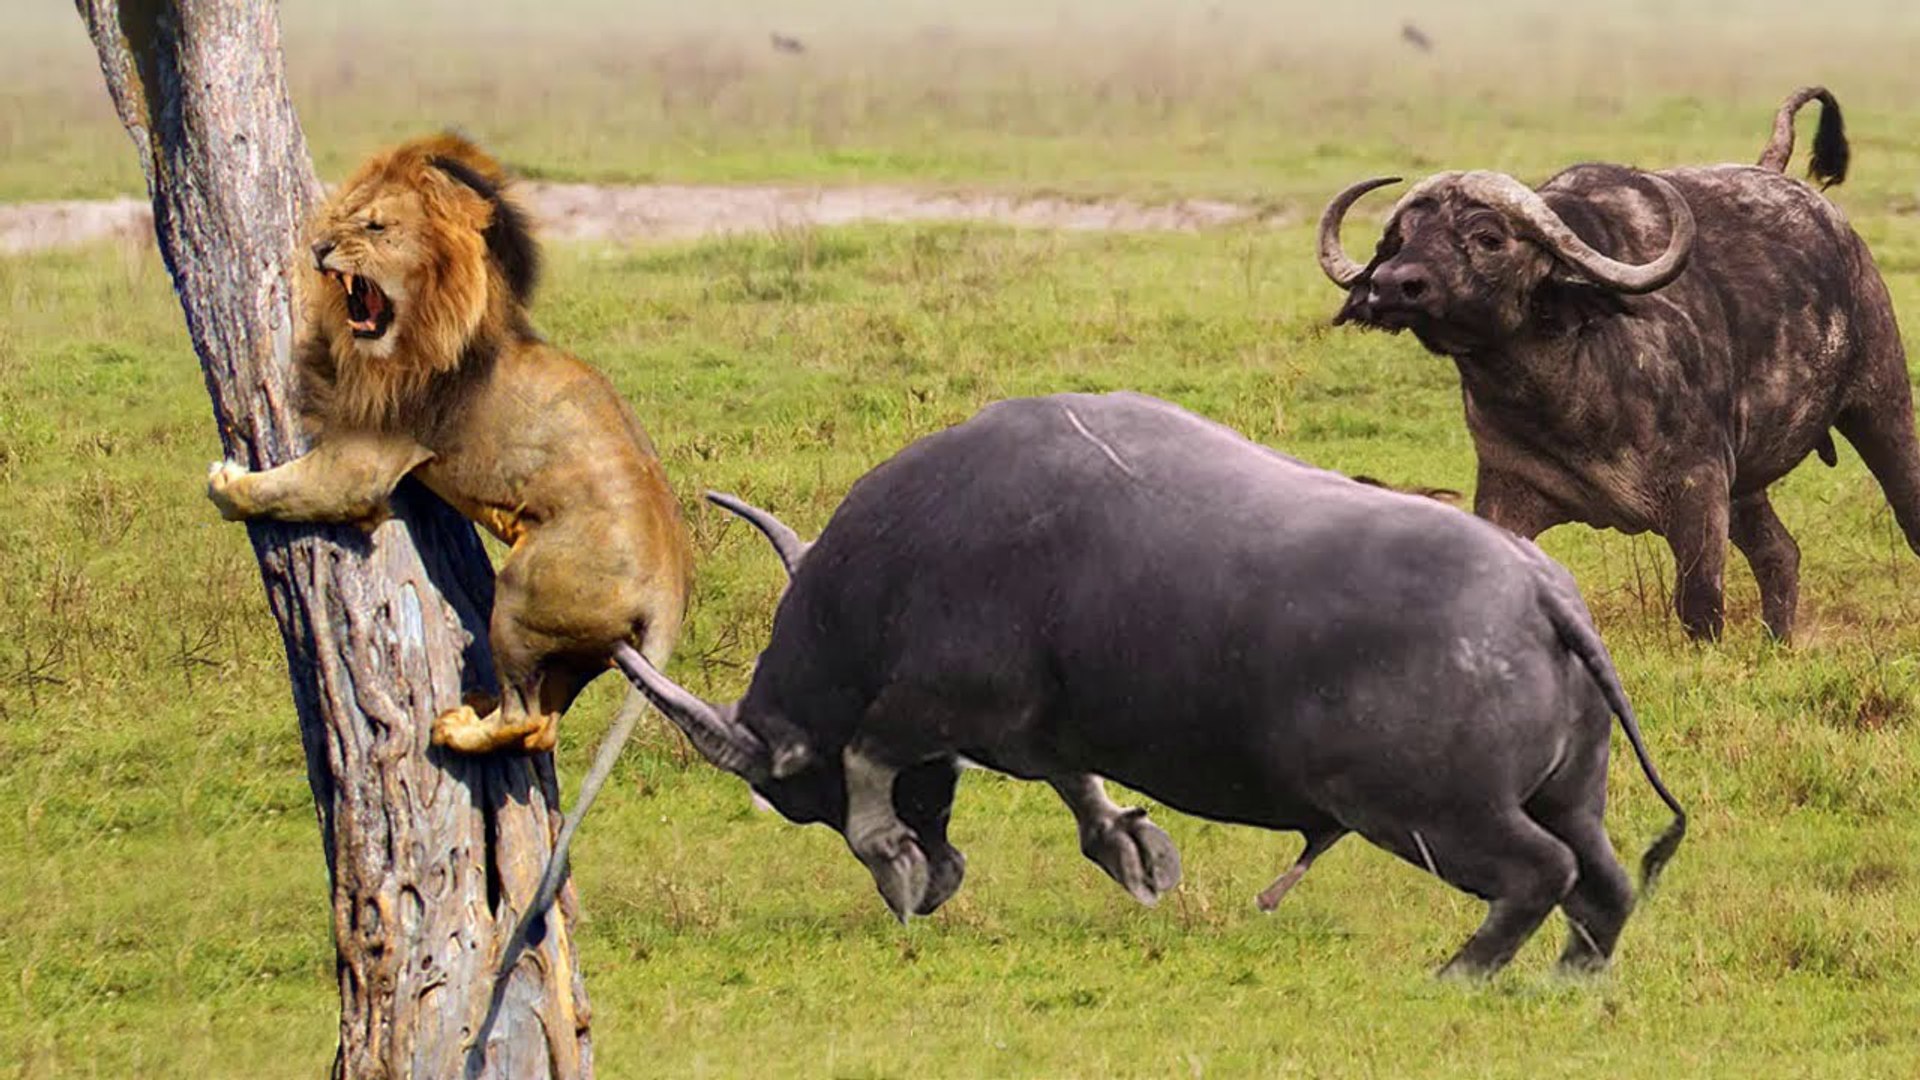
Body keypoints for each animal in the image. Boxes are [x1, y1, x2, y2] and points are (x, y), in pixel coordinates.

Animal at [208, 133, 694, 755]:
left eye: (375, 227)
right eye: (343, 218)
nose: (318, 247)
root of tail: (671, 593)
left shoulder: (364, 458)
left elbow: (287, 489)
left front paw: (227, 482)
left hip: (521, 595)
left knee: (522, 715)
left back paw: (455, 727)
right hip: (584, 650)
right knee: (542, 727)